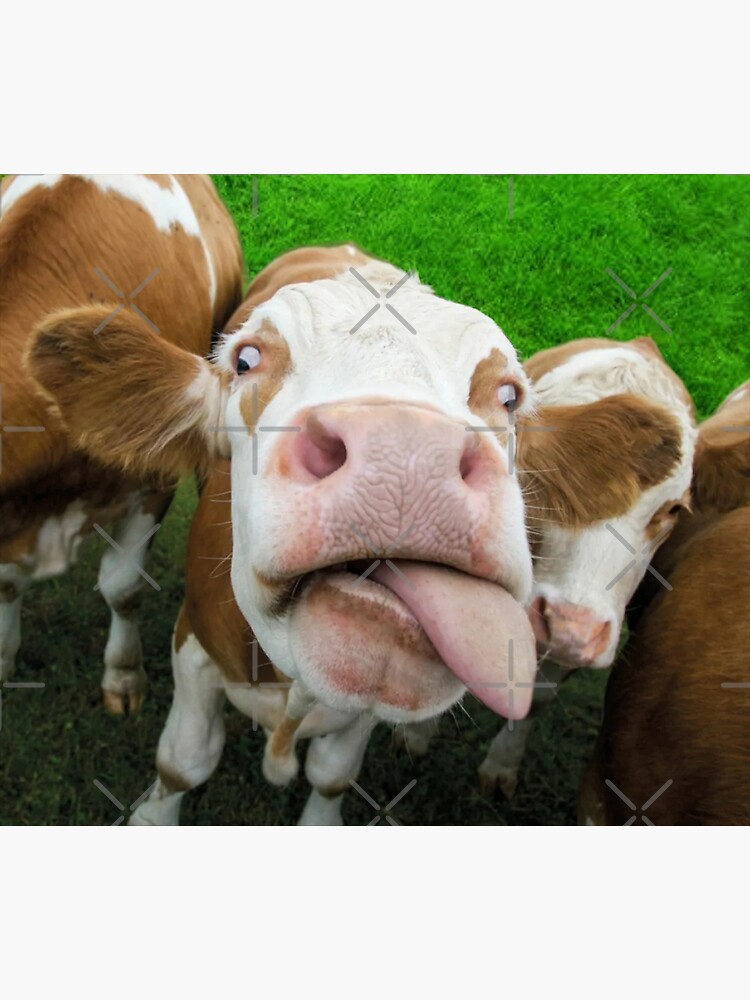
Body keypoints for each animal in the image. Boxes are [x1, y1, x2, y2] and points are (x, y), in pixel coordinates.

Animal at [27, 243, 541, 824]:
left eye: (508, 396)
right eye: (246, 360)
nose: (408, 451)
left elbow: (333, 776)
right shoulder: (193, 643)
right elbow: (183, 762)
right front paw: (152, 817)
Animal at [400, 337, 697, 798]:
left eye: (672, 510)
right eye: (543, 475)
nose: (571, 629)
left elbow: (537, 697)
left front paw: (502, 764)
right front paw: (415, 735)